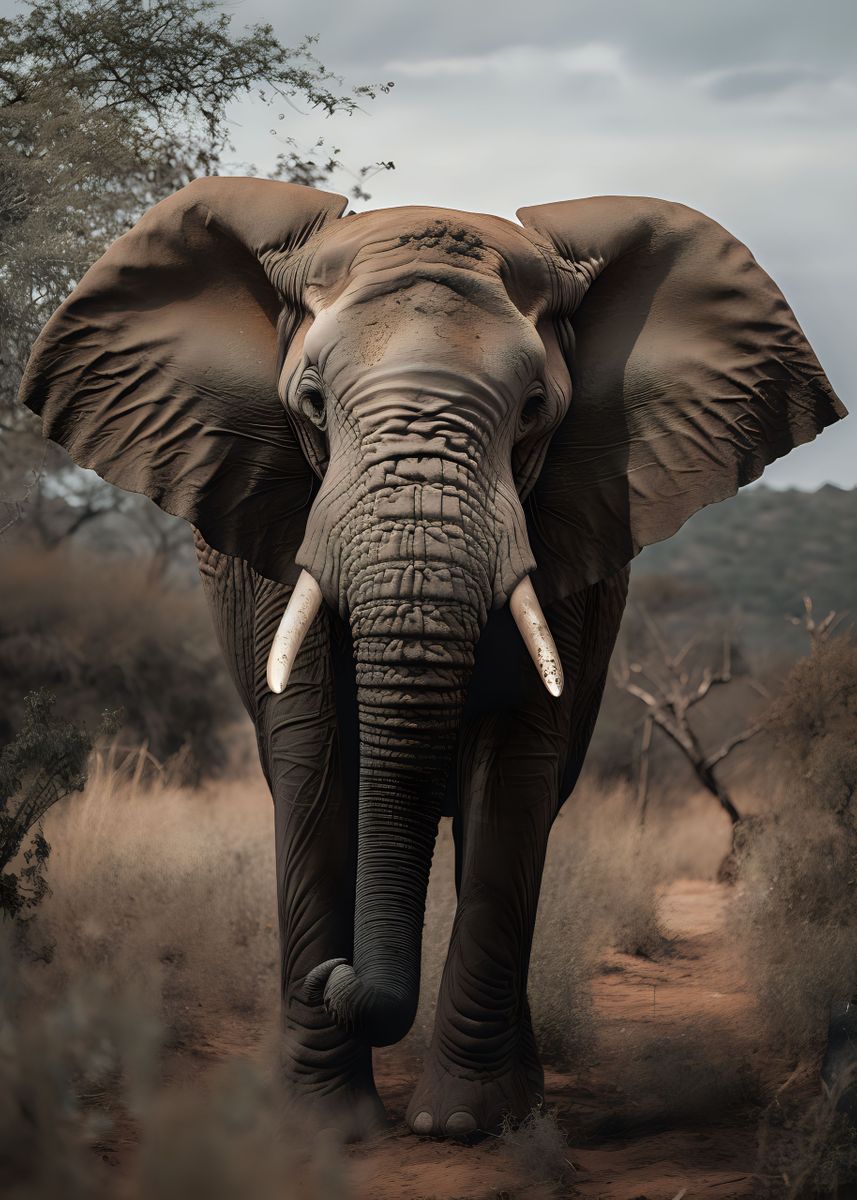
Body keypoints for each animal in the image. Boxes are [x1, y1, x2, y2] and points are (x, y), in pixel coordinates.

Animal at [20, 177, 845, 1140]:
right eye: (310, 402)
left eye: (534, 410)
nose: (331, 979)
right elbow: (312, 757)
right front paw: (324, 1128)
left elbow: (514, 772)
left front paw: (461, 1125)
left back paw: (517, 1099)